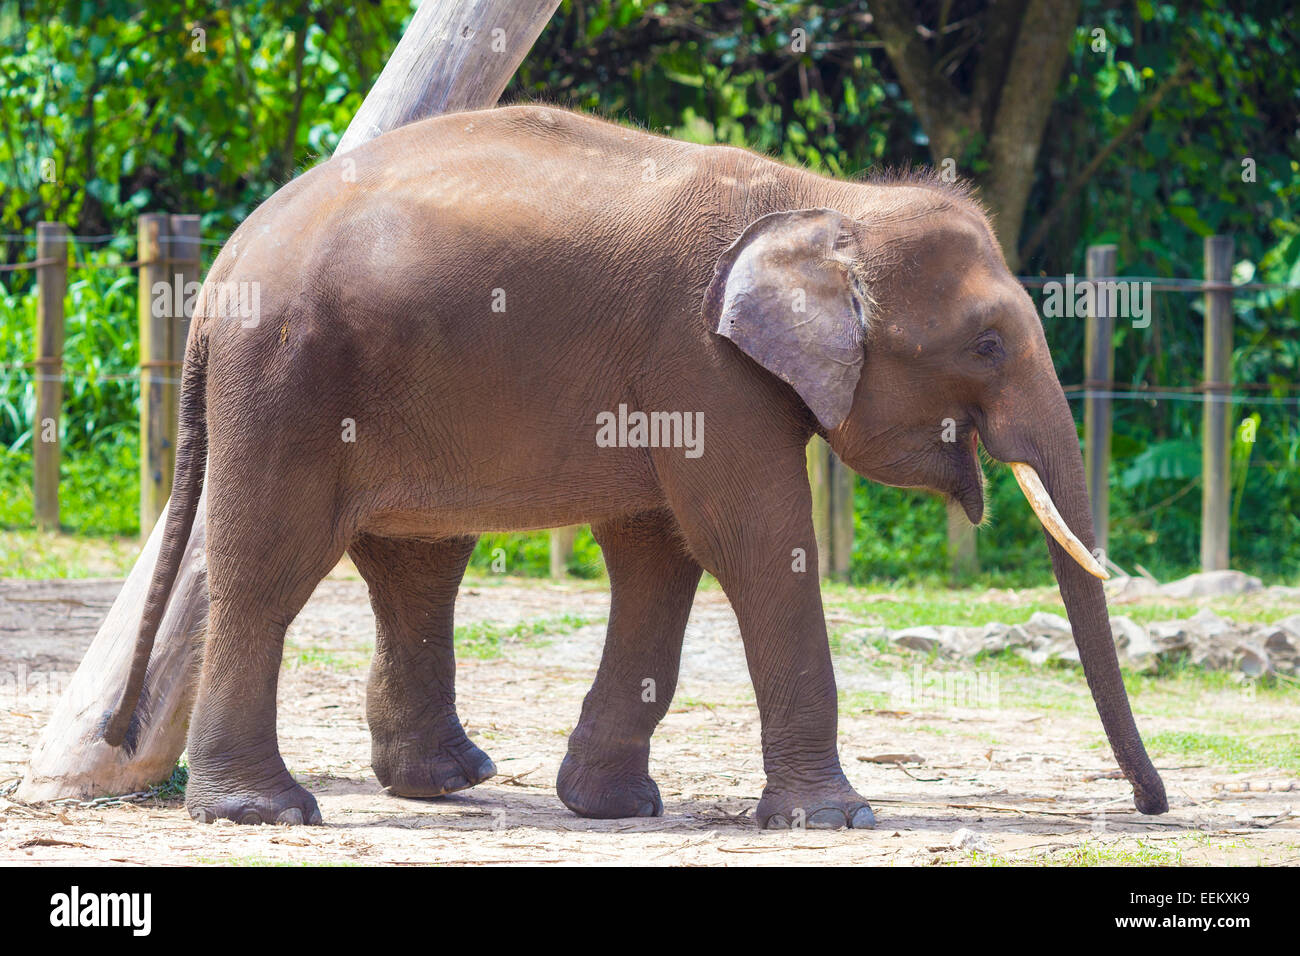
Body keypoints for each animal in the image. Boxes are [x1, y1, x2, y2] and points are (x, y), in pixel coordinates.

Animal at [104, 104, 1168, 828]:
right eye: (987, 344)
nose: (1151, 806)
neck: (829, 201)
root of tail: (220, 273)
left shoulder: (687, 387)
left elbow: (661, 557)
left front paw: (611, 806)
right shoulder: (705, 366)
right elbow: (755, 548)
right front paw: (839, 820)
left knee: (417, 565)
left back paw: (451, 780)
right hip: (288, 380)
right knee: (271, 567)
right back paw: (265, 812)